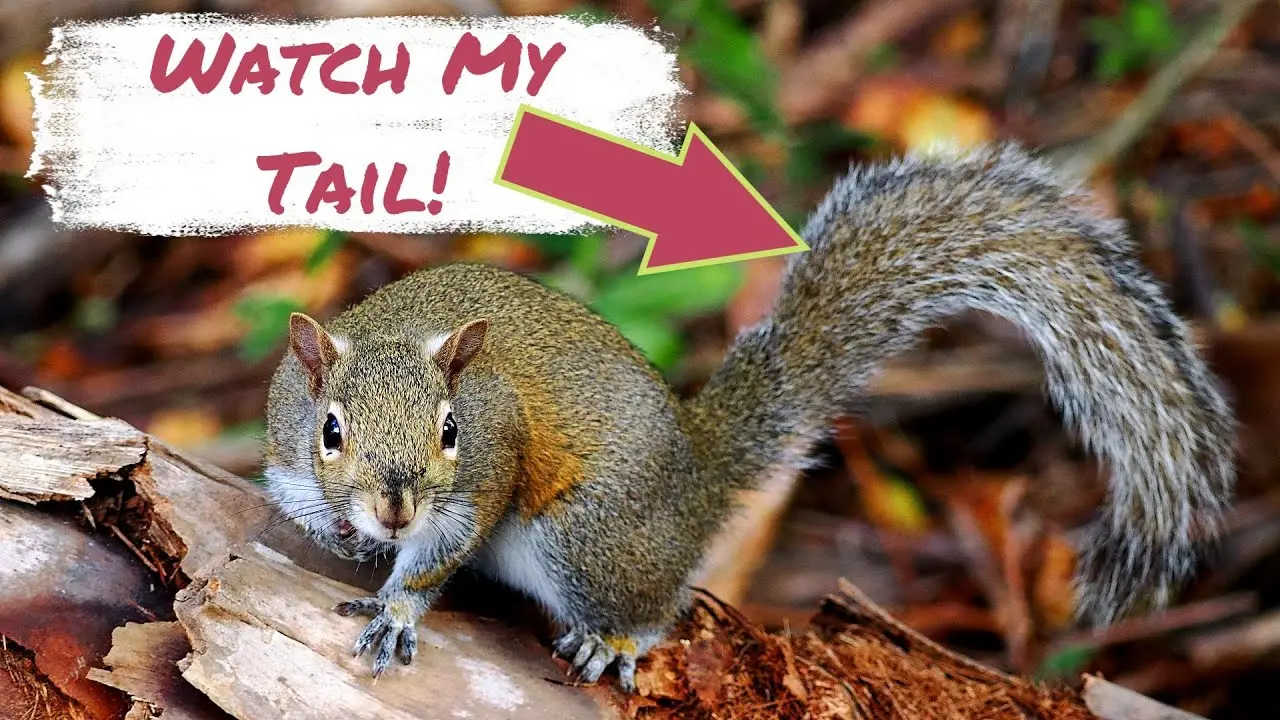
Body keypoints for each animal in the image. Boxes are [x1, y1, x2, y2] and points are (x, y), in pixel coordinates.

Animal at [263, 145, 1235, 690]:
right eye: (331, 431)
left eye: (452, 430)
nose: (394, 510)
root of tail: (697, 474)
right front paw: (349, 539)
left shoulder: (487, 472)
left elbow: (442, 555)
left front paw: (399, 608)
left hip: (588, 537)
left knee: (657, 604)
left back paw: (612, 641)